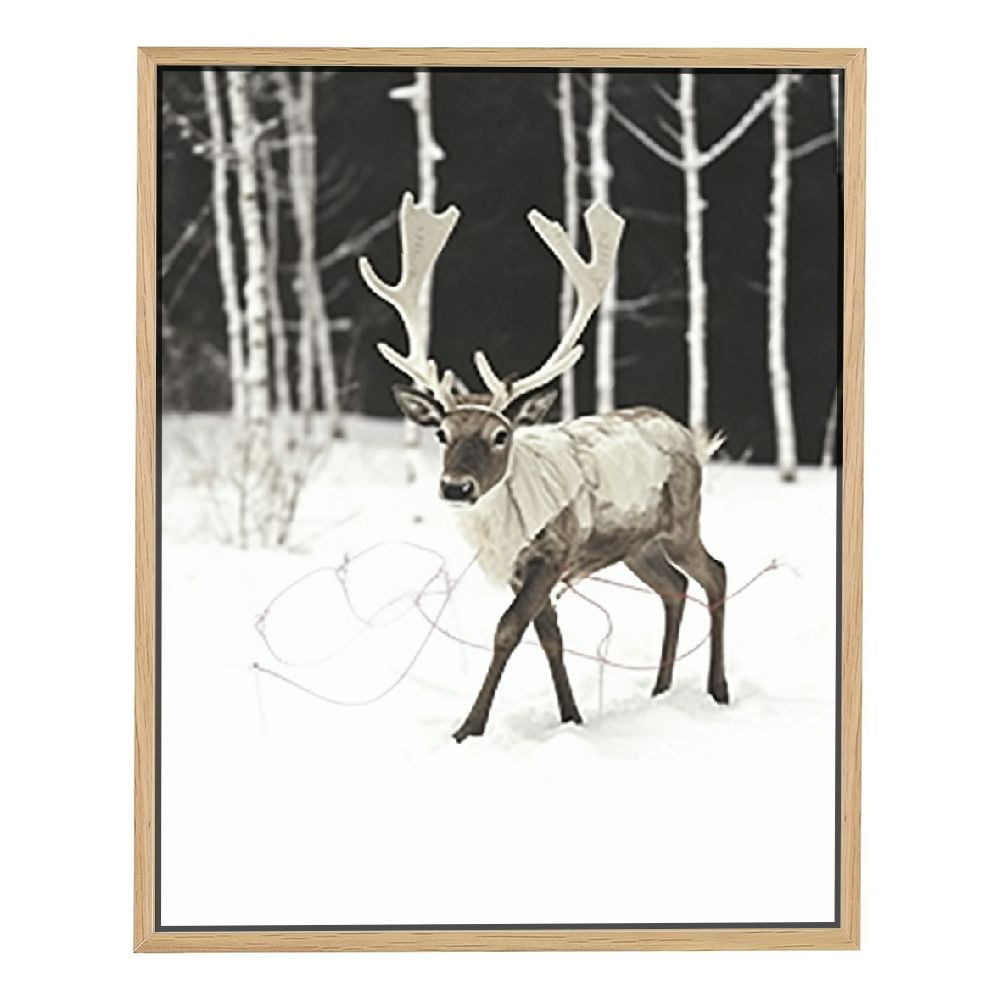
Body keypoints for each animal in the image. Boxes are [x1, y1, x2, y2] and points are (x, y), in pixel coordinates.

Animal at [358, 192, 728, 743]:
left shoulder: (552, 554)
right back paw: (660, 690)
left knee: (716, 575)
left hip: (682, 522)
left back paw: (718, 690)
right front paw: (571, 716)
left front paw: (468, 729)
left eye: (500, 435)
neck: (502, 526)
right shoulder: (521, 569)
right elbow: (549, 635)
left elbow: (508, 630)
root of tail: (689, 437)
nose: (456, 486)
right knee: (675, 589)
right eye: (442, 434)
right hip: (638, 547)